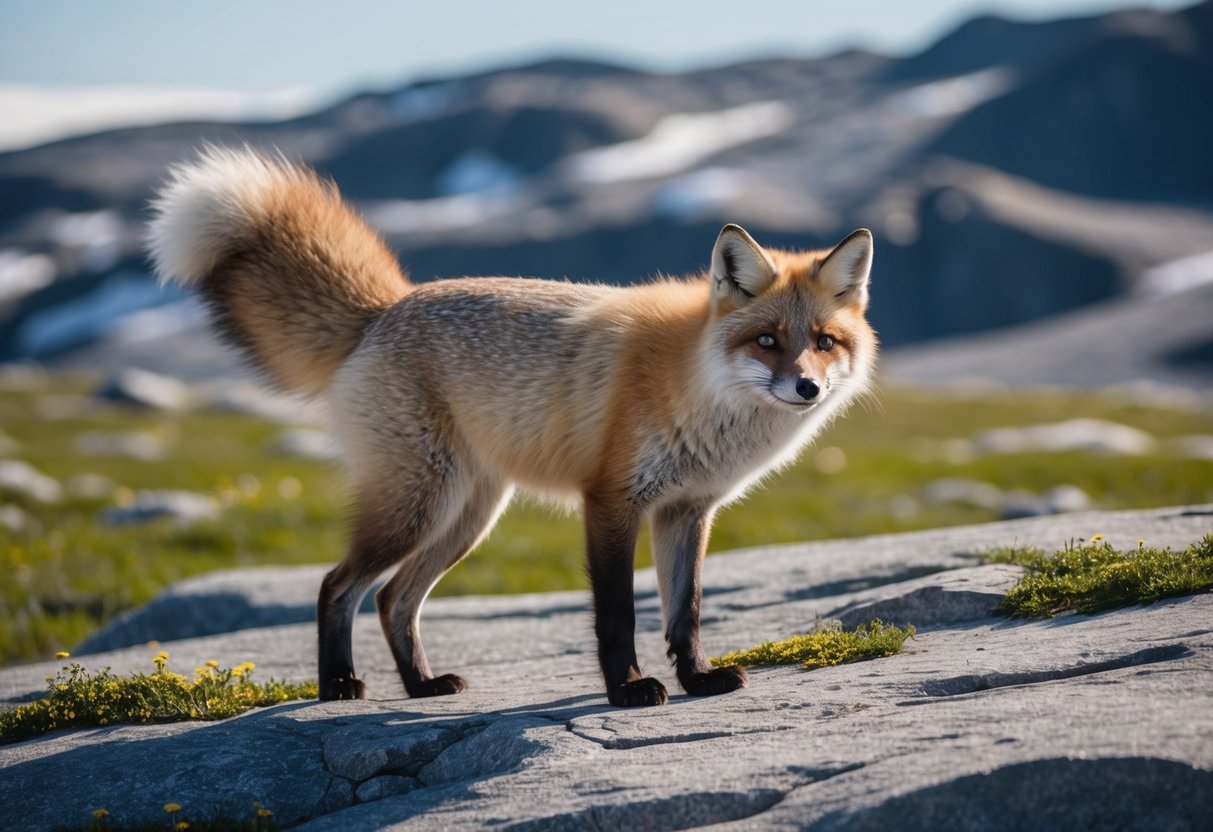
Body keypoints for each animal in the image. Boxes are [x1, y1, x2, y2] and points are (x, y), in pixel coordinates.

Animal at [148, 147, 877, 707]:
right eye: (766, 340)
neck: (695, 385)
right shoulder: (610, 501)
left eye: (823, 342)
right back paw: (338, 687)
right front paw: (627, 690)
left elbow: (686, 610)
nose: (807, 388)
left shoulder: (687, 510)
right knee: (337, 586)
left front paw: (696, 680)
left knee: (392, 600)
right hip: (416, 508)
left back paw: (420, 686)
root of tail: (386, 310)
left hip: (466, 519)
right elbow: (618, 614)